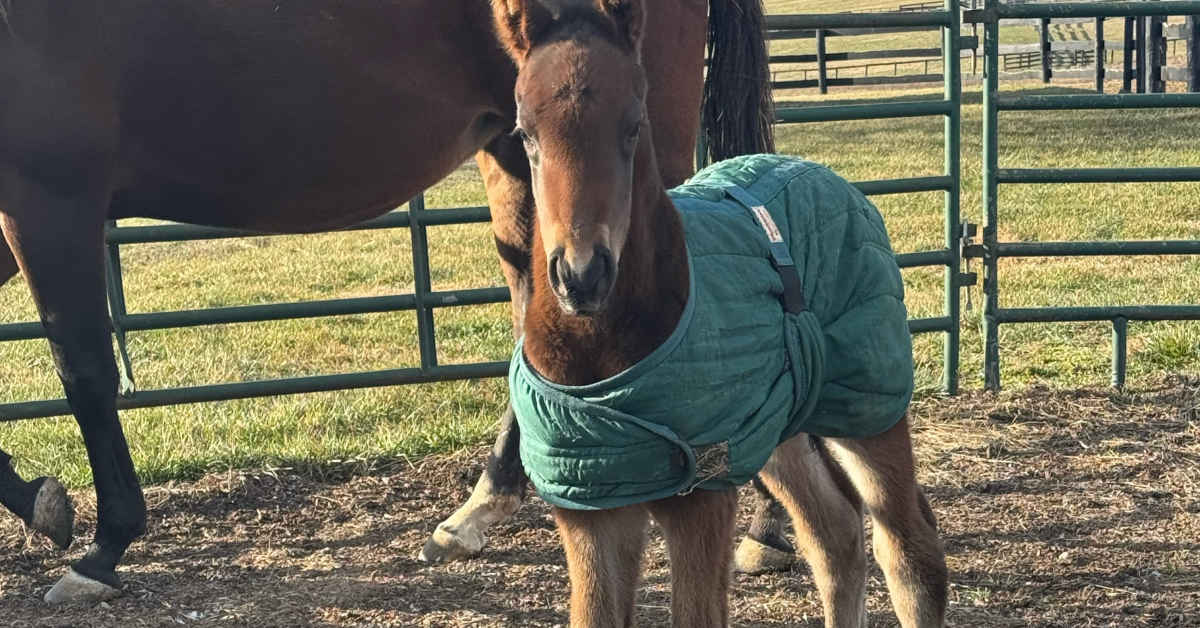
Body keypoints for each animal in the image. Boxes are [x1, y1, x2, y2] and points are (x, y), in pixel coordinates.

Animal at [0, 0, 780, 606]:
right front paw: (42, 503)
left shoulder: (49, 197)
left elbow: (83, 374)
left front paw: (101, 548)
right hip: (516, 154)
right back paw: (481, 508)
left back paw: (765, 523)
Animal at [496, 1, 949, 626]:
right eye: (524, 132)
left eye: (634, 124)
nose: (581, 274)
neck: (603, 361)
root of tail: (811, 168)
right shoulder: (592, 504)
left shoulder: (702, 496)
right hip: (778, 425)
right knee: (834, 533)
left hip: (866, 406)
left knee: (908, 548)